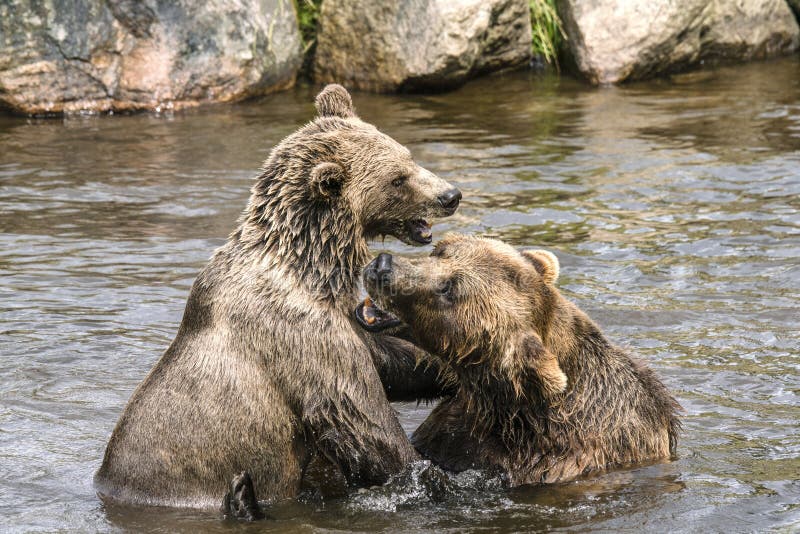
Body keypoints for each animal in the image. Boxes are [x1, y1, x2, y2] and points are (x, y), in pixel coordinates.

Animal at [94, 84, 461, 510]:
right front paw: (431, 475)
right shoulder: (300, 335)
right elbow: (360, 416)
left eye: (408, 156)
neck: (313, 268)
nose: (450, 195)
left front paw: (449, 370)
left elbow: (388, 358)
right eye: (397, 179)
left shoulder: (340, 318)